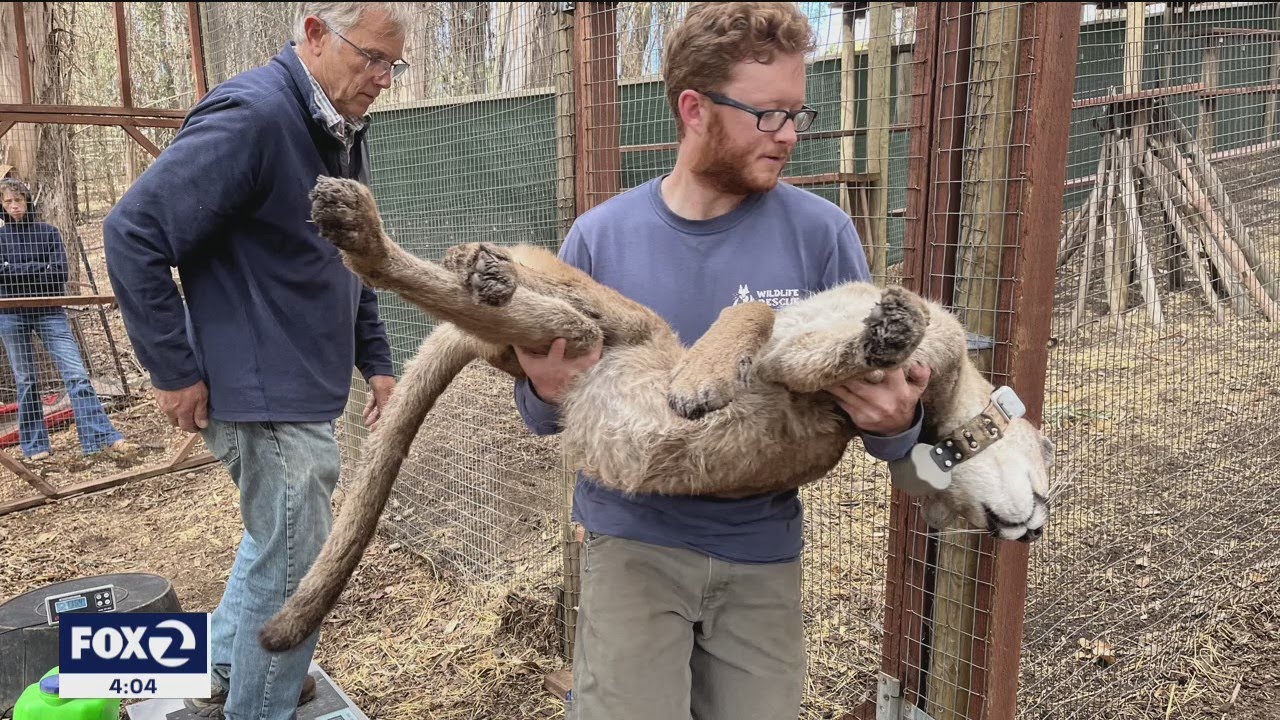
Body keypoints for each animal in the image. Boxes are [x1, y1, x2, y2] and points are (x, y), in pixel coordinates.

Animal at [256, 177, 1053, 653]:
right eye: (1048, 492)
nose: (1030, 531)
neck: (941, 387)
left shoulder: (814, 371)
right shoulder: (801, 340)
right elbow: (759, 311)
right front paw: (705, 380)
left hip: (577, 337)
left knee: (496, 321)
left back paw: (442, 258)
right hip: (609, 319)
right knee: (499, 285)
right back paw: (433, 248)